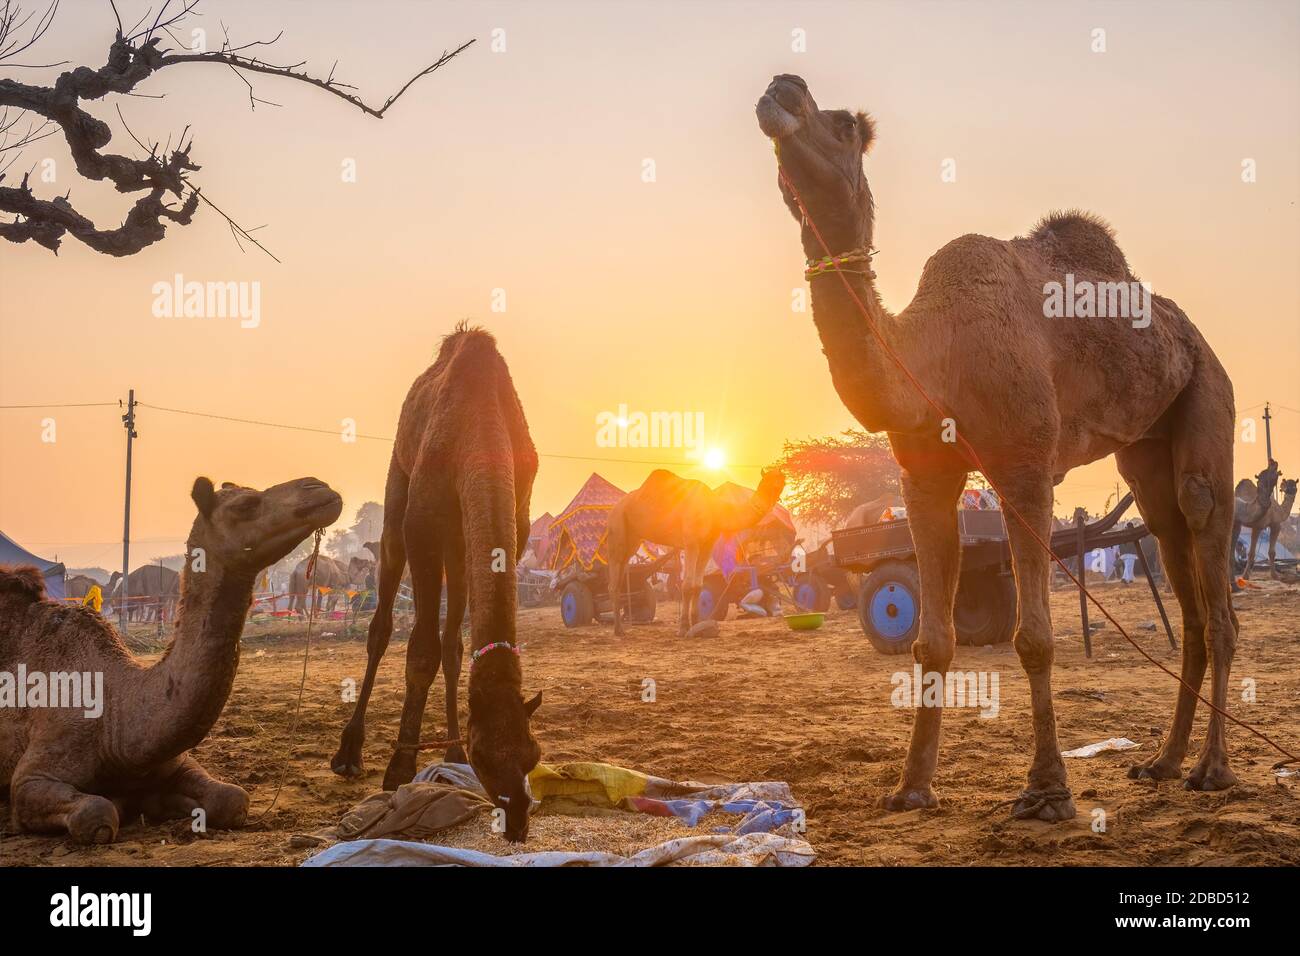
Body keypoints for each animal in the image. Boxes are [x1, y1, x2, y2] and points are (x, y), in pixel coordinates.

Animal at [0, 476, 341, 844]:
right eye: (245, 505)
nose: (319, 487)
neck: (116, 718)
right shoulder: (33, 776)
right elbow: (97, 812)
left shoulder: (173, 763)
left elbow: (232, 798)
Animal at [331, 326, 542, 843]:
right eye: (487, 757)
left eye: (533, 756)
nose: (518, 820)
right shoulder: (423, 522)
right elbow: (420, 649)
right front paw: (399, 767)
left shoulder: (516, 520)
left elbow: (453, 644)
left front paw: (453, 752)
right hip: (398, 487)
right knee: (382, 623)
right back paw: (349, 753)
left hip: (457, 543)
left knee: (452, 642)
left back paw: (447, 752)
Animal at [606, 469, 785, 637]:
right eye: (767, 480)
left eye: (782, 480)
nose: (776, 489)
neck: (716, 510)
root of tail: (616, 506)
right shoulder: (691, 543)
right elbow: (687, 585)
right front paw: (683, 628)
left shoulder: (707, 545)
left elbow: (698, 585)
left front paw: (697, 623)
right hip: (617, 525)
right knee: (614, 574)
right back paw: (618, 630)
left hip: (634, 538)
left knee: (622, 572)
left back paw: (620, 627)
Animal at [756, 75, 1240, 820]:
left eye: (842, 126)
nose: (783, 88)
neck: (934, 354)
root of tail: (1196, 340)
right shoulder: (923, 474)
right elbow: (931, 638)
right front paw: (911, 786)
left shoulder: (1024, 465)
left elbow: (1034, 637)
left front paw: (1047, 791)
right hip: (1147, 450)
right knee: (1175, 559)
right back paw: (1161, 761)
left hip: (1209, 395)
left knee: (1210, 561)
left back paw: (1212, 769)